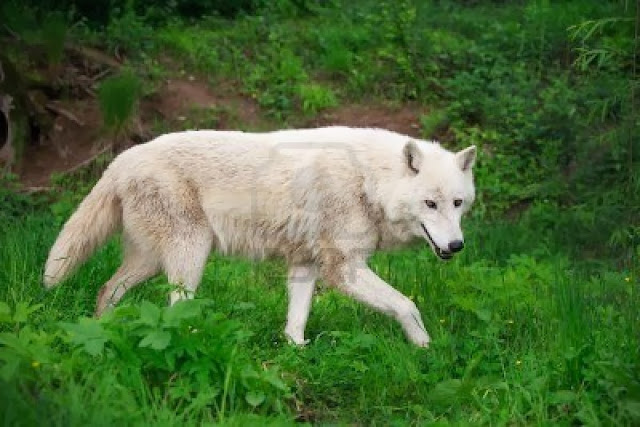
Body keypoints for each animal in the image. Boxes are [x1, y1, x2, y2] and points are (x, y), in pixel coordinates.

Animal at [44, 126, 476, 347]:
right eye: (430, 204)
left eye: (457, 203)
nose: (456, 246)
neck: (367, 180)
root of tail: (120, 159)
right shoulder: (344, 269)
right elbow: (406, 305)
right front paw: (424, 348)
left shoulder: (305, 265)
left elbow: (296, 320)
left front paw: (296, 354)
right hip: (191, 256)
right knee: (174, 308)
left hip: (150, 261)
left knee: (108, 289)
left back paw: (99, 330)